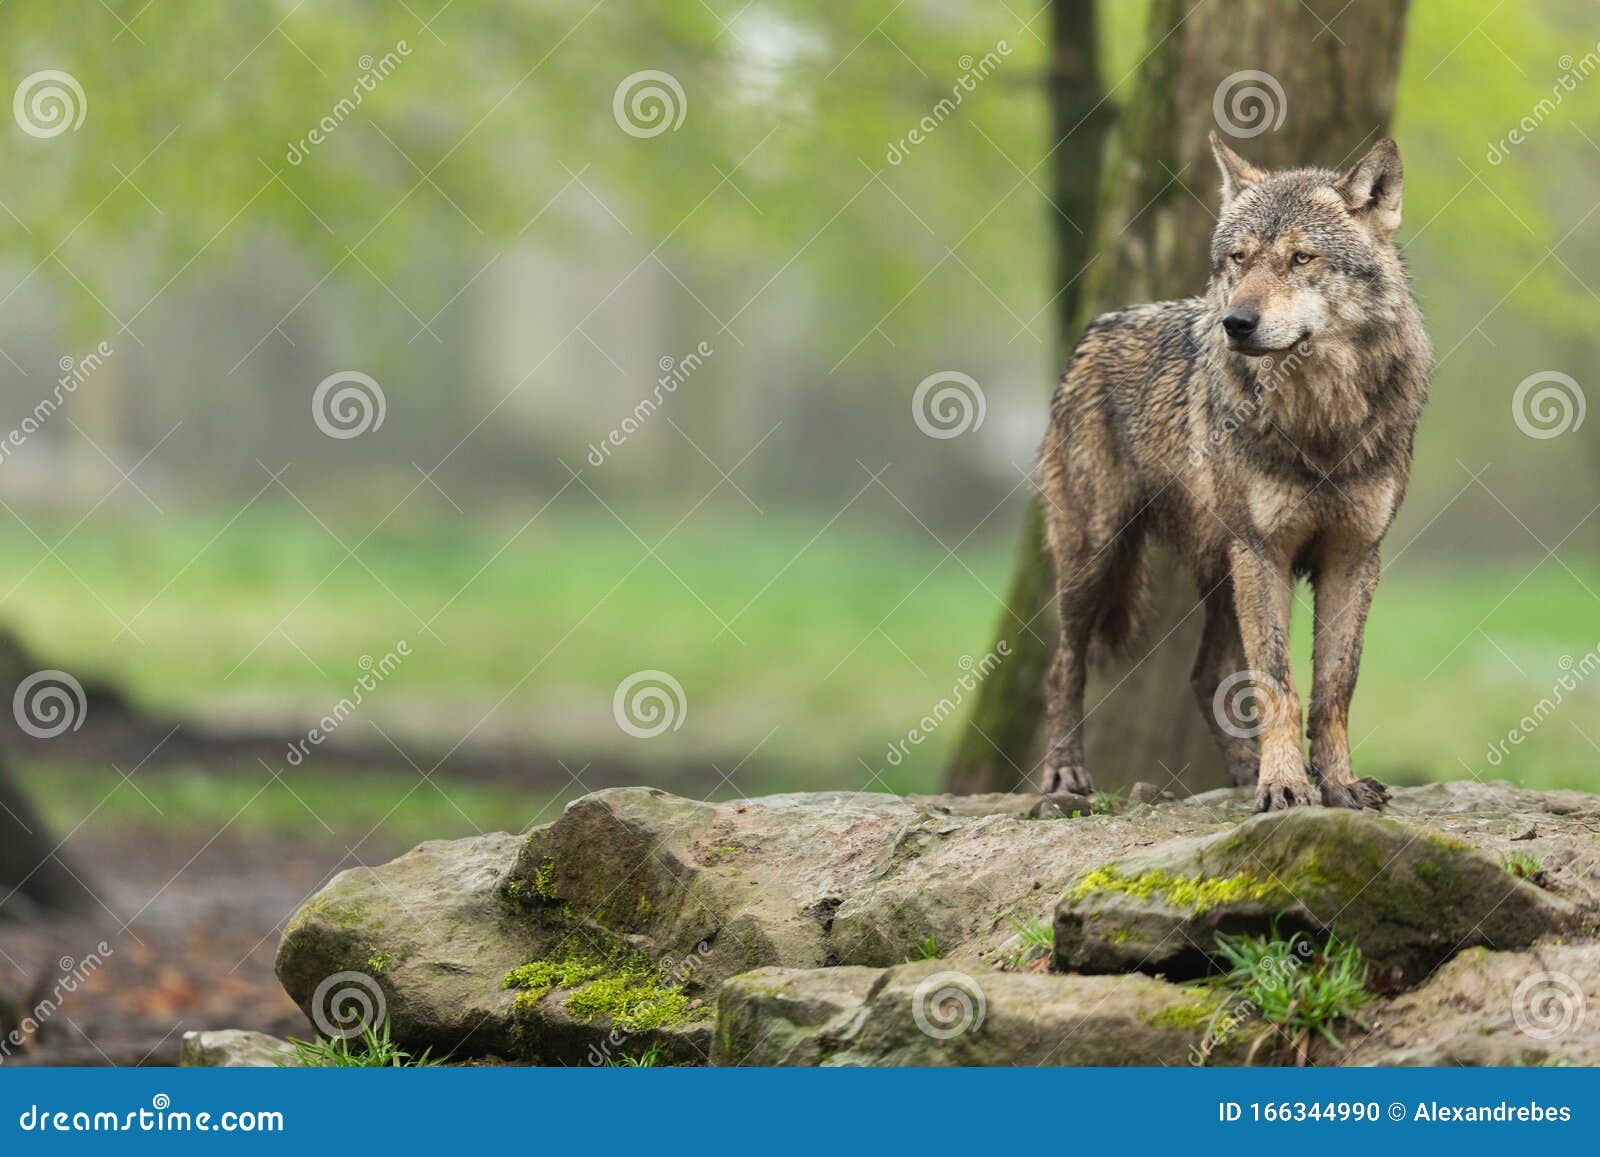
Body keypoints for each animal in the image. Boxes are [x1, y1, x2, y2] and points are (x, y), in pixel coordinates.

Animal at [1037, 133, 1430, 812]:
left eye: (1300, 258)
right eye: (1239, 260)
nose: (1236, 323)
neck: (1318, 421)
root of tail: (1097, 327)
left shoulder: (1353, 557)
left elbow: (1334, 689)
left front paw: (1339, 785)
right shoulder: (1264, 551)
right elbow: (1277, 682)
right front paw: (1285, 784)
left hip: (1222, 574)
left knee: (1204, 675)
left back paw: (1245, 769)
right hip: (1100, 557)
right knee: (1063, 665)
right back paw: (1064, 776)